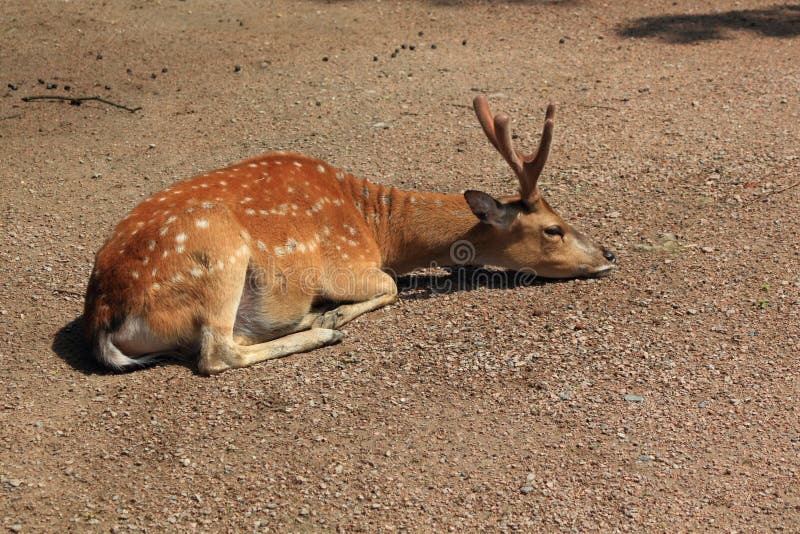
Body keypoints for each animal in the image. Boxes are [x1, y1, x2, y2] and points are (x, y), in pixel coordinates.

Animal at [83, 95, 616, 375]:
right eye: (553, 229)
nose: (609, 253)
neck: (379, 228)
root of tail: (106, 315)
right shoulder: (340, 265)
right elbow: (392, 285)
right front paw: (337, 313)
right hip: (220, 255)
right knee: (216, 352)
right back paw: (322, 328)